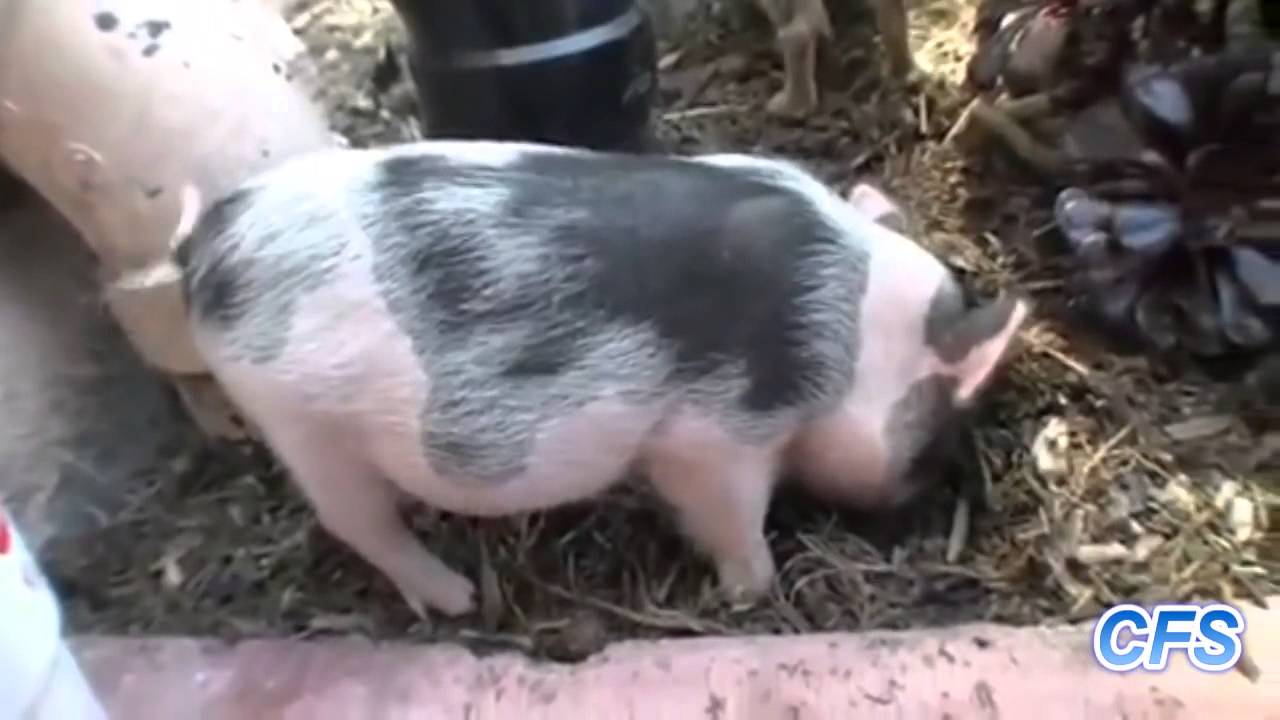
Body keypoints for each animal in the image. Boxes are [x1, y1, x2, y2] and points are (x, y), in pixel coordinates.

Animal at [173, 140, 1030, 617]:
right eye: (935, 434)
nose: (920, 516)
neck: (856, 343)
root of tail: (206, 247)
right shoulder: (713, 439)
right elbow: (732, 521)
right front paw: (749, 592)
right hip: (302, 422)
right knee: (358, 523)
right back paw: (460, 601)